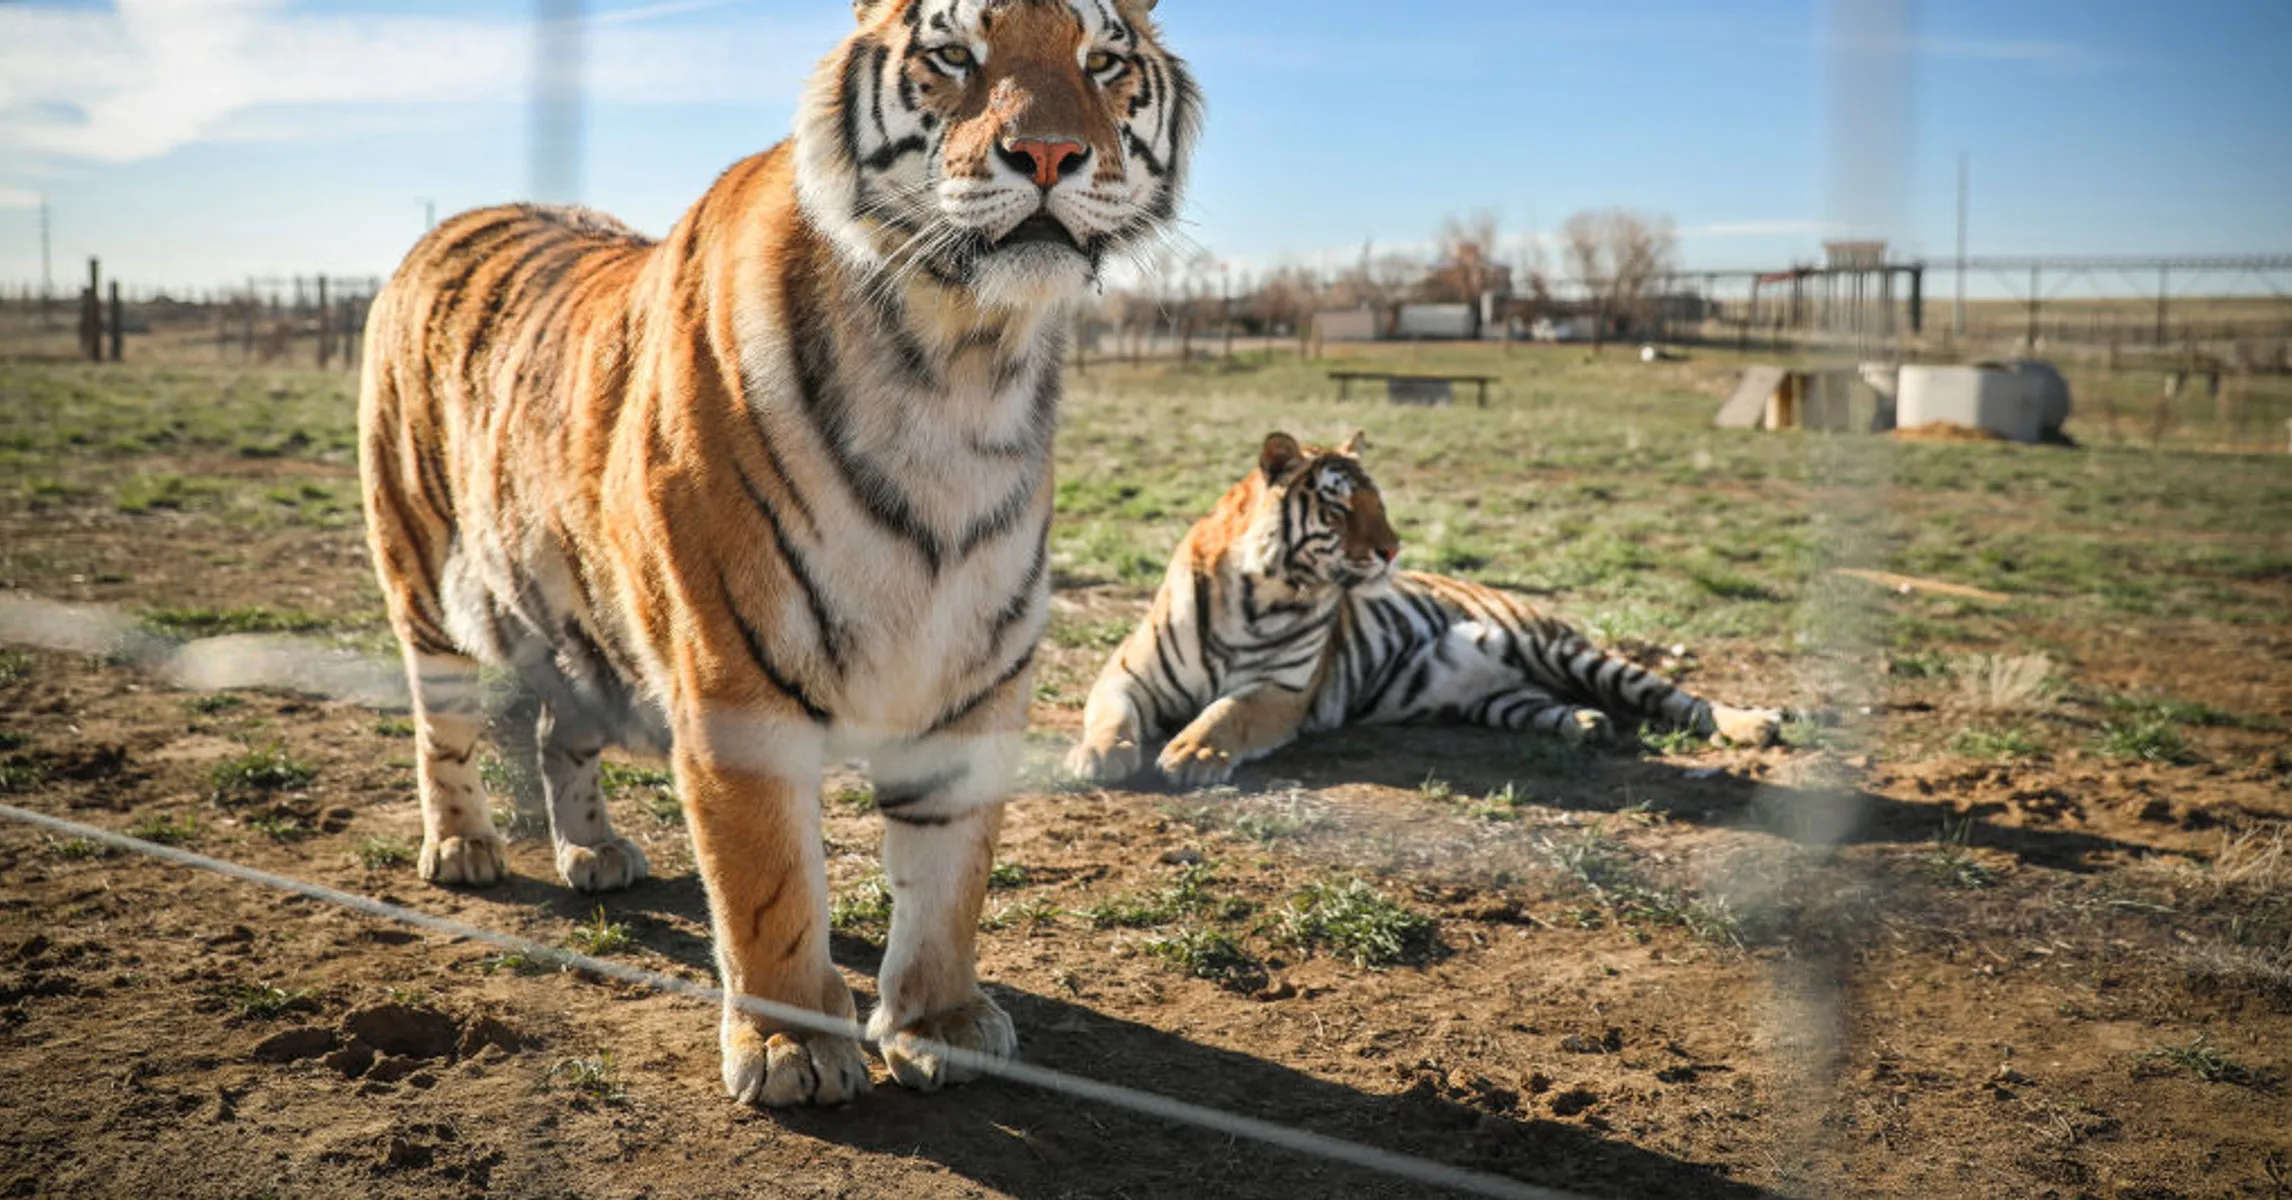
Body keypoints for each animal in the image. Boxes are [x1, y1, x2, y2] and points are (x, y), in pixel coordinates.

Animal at [357, 0, 1197, 1109]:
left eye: (1102, 63)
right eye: (954, 55)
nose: (1052, 154)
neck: (963, 360)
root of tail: (446, 224)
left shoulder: (976, 677)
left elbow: (951, 877)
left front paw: (940, 1024)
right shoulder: (732, 674)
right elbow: (768, 881)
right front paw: (791, 1046)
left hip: (581, 613)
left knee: (556, 732)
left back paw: (595, 850)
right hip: (422, 572)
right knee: (440, 726)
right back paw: (462, 847)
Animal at [1065, 432, 1785, 787]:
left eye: (1378, 502)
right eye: (1339, 506)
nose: (1393, 549)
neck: (1258, 591)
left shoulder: (1282, 691)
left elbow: (1225, 713)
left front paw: (1193, 754)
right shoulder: (1127, 675)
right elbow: (1109, 714)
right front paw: (1096, 755)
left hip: (1564, 649)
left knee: (1678, 697)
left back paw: (1753, 724)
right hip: (1499, 697)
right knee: (1548, 704)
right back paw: (1588, 725)